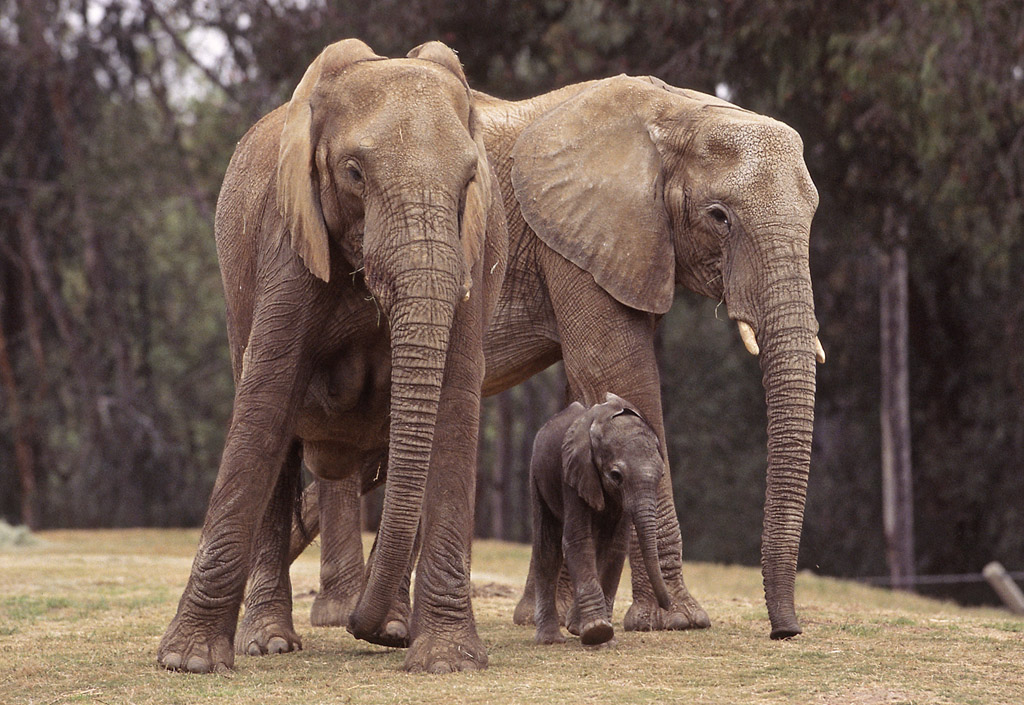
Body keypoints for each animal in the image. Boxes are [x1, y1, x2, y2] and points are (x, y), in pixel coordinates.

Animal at [156, 39, 507, 674]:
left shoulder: (478, 245)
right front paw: (188, 663)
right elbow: (264, 403)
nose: (360, 628)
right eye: (354, 173)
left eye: (471, 177)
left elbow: (452, 405)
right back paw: (272, 641)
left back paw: (391, 626)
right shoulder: (286, 239)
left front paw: (445, 661)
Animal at [529, 393, 673, 647]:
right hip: (538, 473)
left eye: (661, 475)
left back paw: (574, 627)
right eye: (616, 476)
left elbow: (615, 546)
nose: (668, 605)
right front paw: (597, 631)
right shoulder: (573, 471)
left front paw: (598, 636)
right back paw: (551, 640)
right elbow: (578, 540)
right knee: (547, 548)